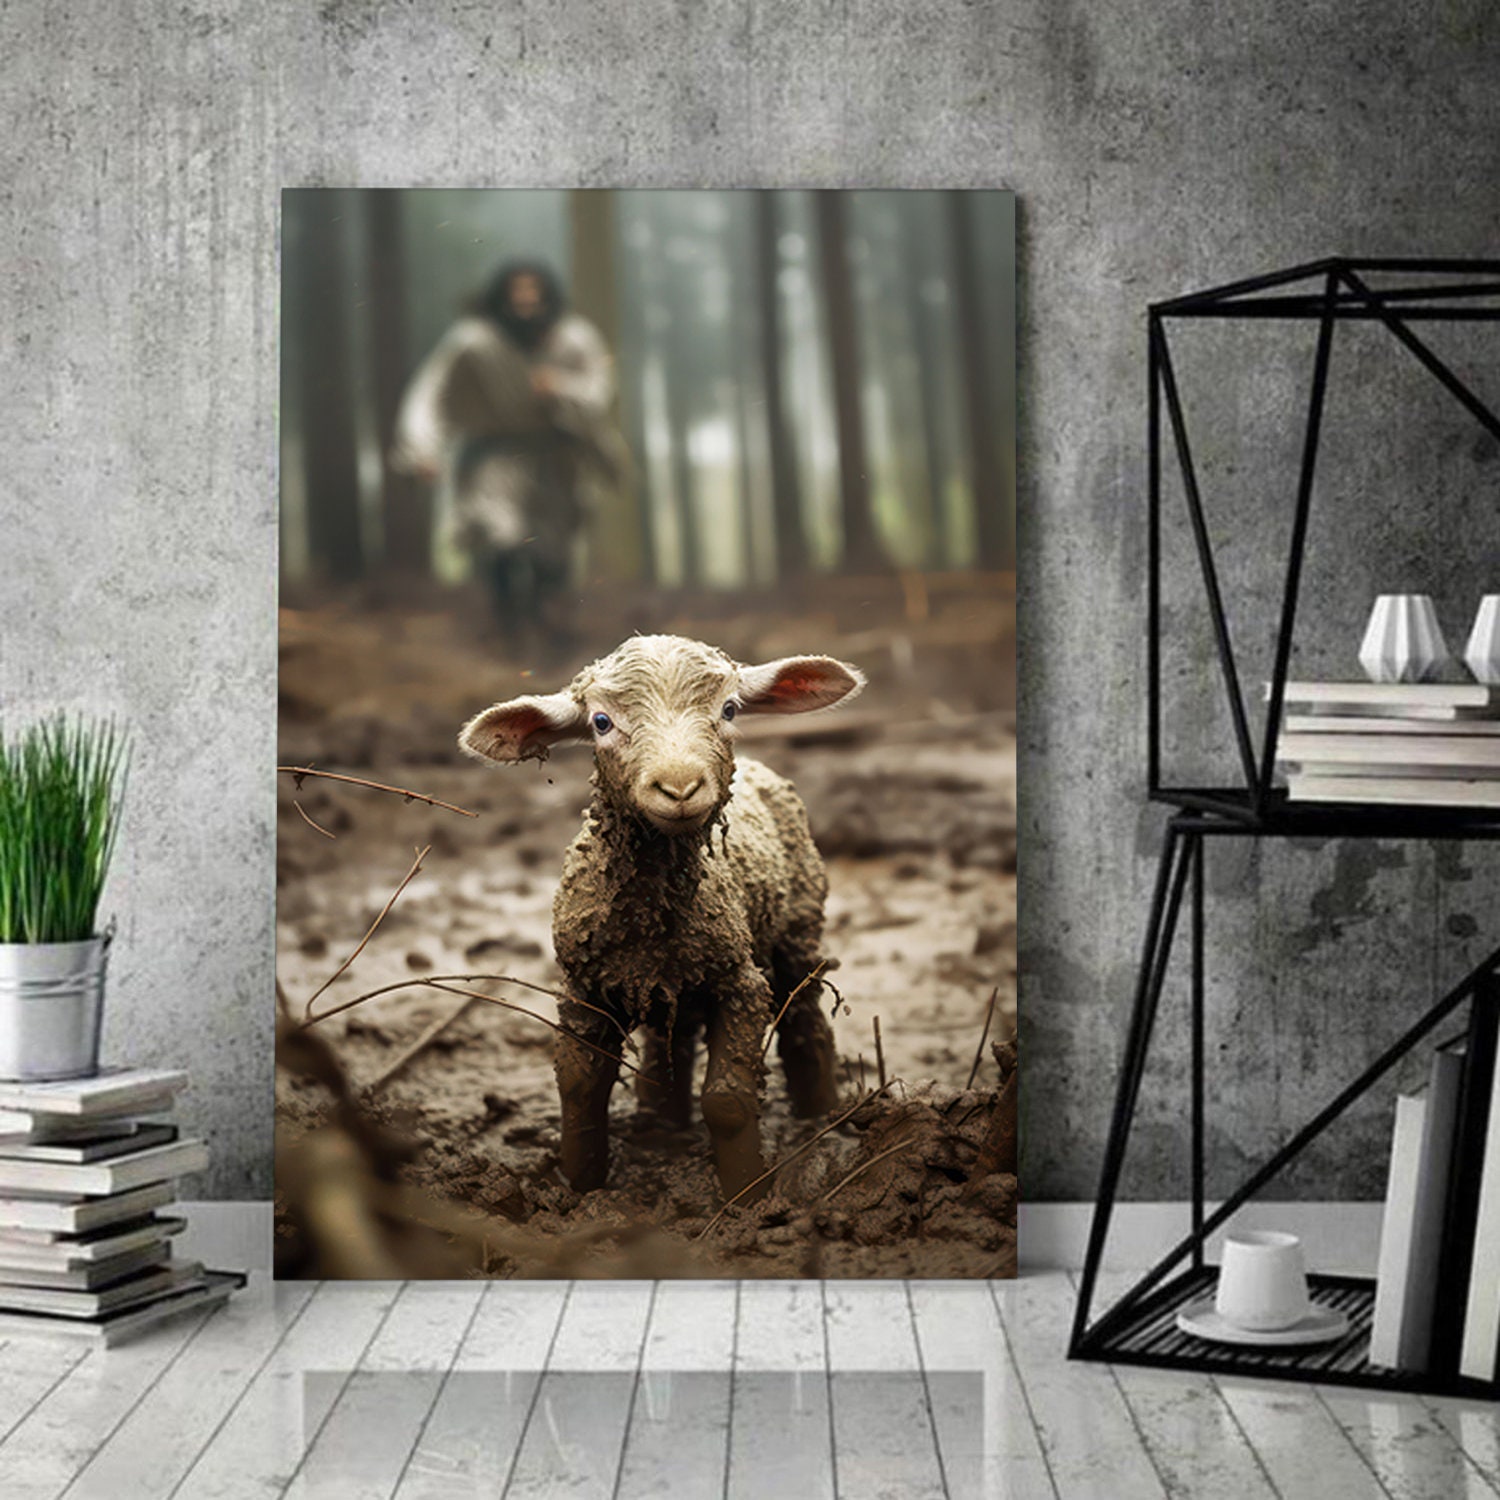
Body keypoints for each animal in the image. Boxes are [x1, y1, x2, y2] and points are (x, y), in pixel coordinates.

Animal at [458, 634, 864, 1199]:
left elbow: (728, 1100)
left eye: (729, 709)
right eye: (601, 722)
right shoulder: (583, 986)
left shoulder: (740, 982)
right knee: (672, 1038)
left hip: (797, 926)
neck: (651, 916)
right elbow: (578, 1086)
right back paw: (663, 1120)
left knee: (805, 1019)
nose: (679, 788)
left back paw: (819, 1115)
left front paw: (746, 1195)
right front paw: (579, 1184)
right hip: (675, 978)